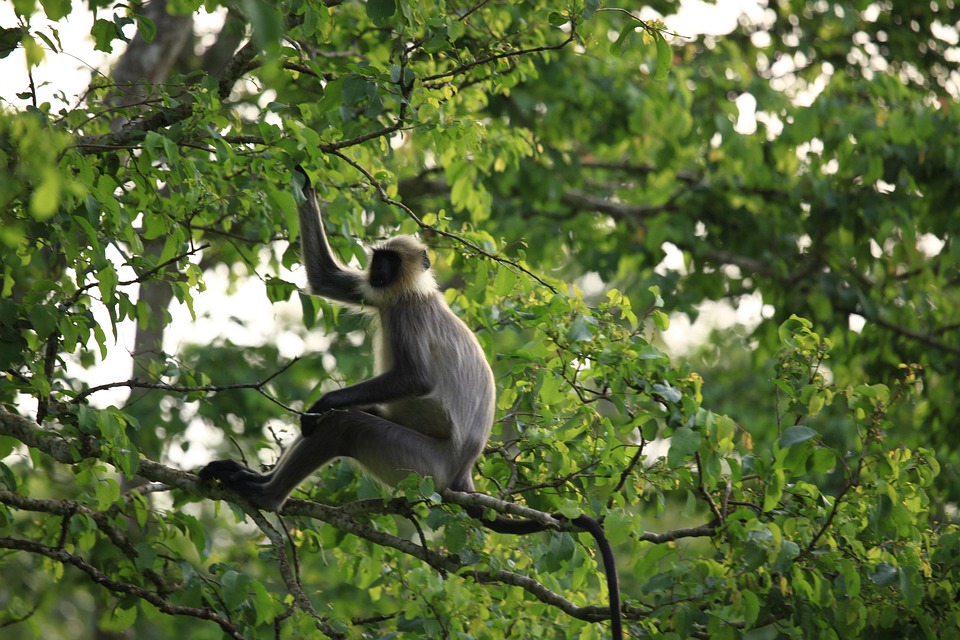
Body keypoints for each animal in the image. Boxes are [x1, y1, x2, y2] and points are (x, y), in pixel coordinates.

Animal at [199, 173, 621, 640]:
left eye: (389, 261)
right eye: (378, 259)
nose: (378, 271)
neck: (406, 294)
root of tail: (462, 470)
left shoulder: (409, 316)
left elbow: (415, 380)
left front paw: (323, 402)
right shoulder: (382, 296)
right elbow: (325, 278)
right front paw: (303, 178)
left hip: (421, 466)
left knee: (347, 425)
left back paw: (268, 494)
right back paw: (255, 478)